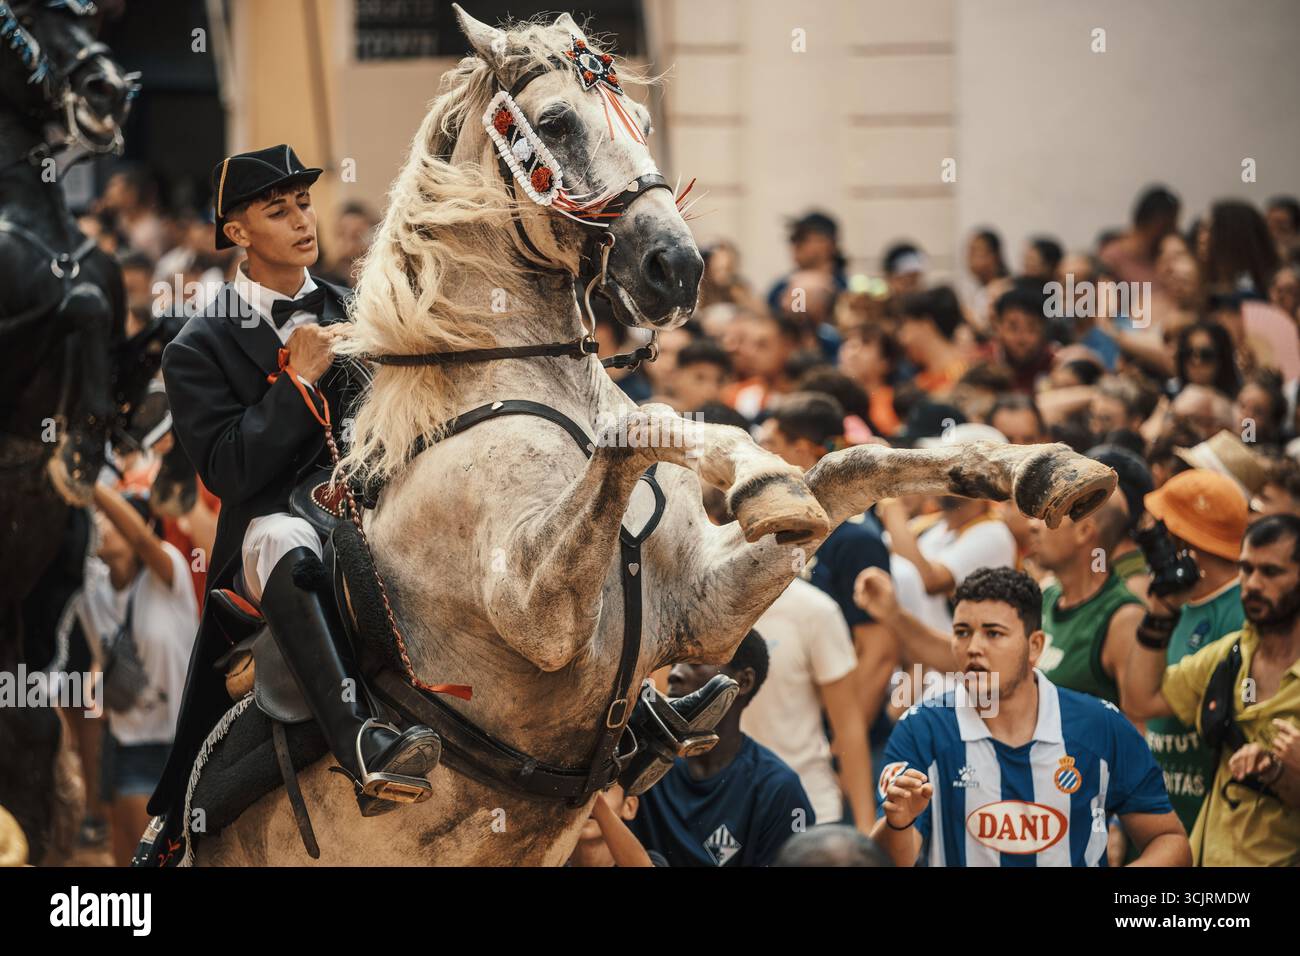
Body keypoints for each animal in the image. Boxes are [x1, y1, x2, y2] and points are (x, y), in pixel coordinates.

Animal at [189, 6, 1115, 866]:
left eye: (635, 113)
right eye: (557, 122)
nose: (679, 267)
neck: (526, 383)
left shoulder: (701, 611)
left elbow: (848, 465)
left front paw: (1037, 469)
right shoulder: (536, 611)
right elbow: (649, 422)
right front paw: (760, 474)